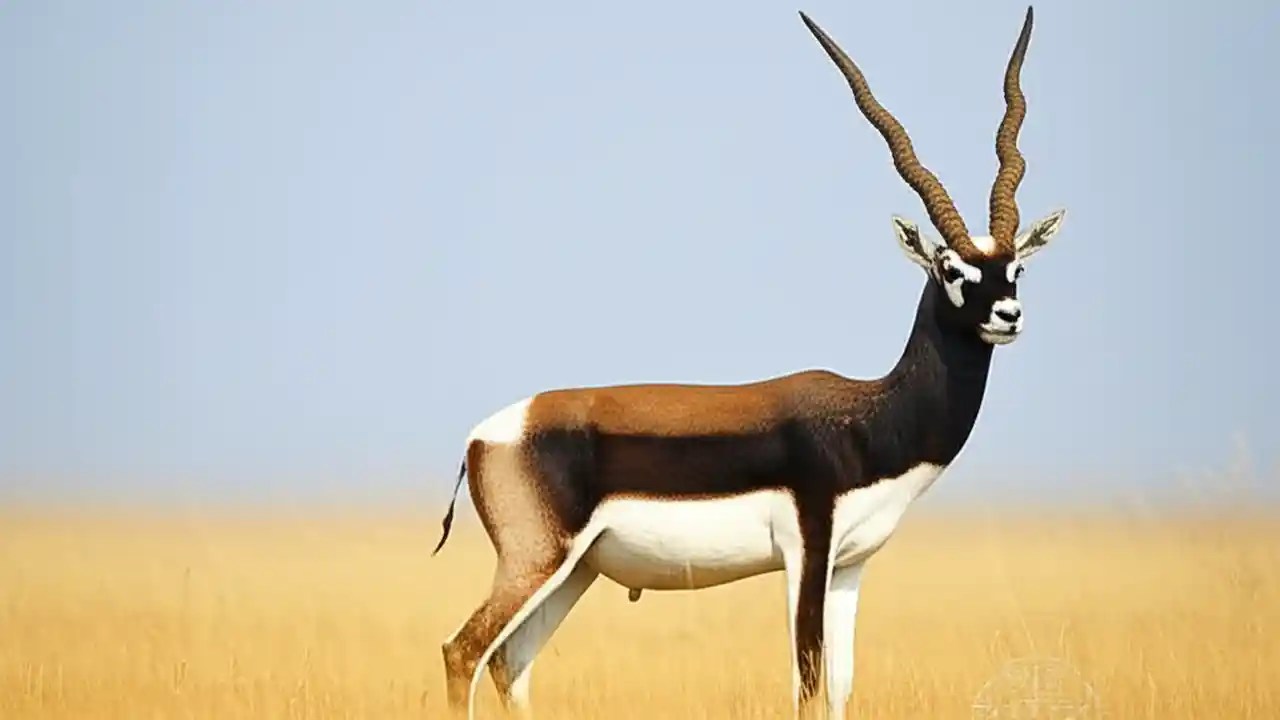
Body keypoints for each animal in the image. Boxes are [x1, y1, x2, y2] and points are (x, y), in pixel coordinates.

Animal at [433, 7, 1065, 719]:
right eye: (951, 269)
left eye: (1015, 268)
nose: (1007, 316)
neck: (868, 418)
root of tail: (484, 436)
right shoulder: (806, 552)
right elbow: (808, 681)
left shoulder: (850, 566)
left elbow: (840, 685)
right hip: (537, 559)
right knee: (463, 651)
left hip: (576, 571)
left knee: (510, 662)